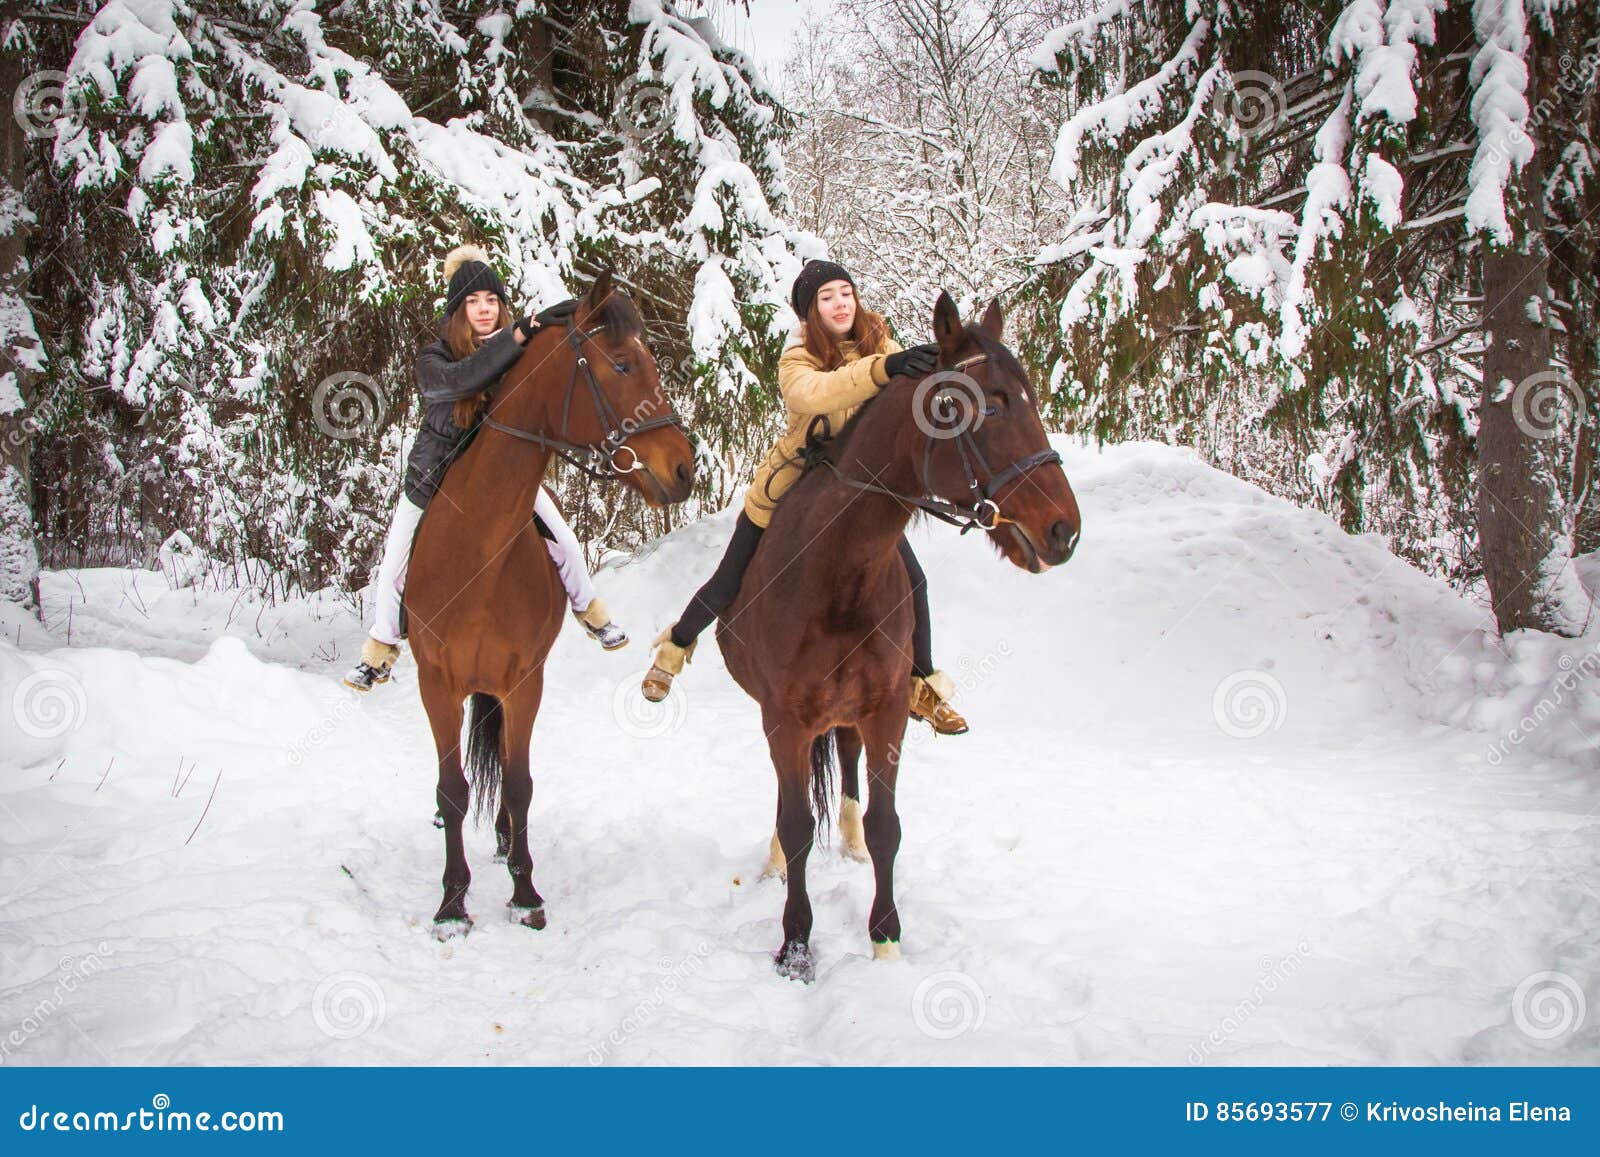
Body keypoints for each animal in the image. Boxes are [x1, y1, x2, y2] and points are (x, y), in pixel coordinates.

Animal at [404, 270, 696, 937]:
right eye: (622, 365)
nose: (684, 468)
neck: (478, 553)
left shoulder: (522, 683)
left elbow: (518, 785)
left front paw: (524, 891)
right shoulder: (436, 684)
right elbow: (452, 789)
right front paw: (452, 903)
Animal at [715, 291, 1081, 981]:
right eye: (988, 404)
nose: (1064, 530)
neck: (838, 574)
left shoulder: (884, 709)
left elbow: (887, 824)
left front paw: (885, 939)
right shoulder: (785, 718)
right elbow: (796, 823)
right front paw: (796, 947)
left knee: (845, 762)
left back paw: (851, 841)